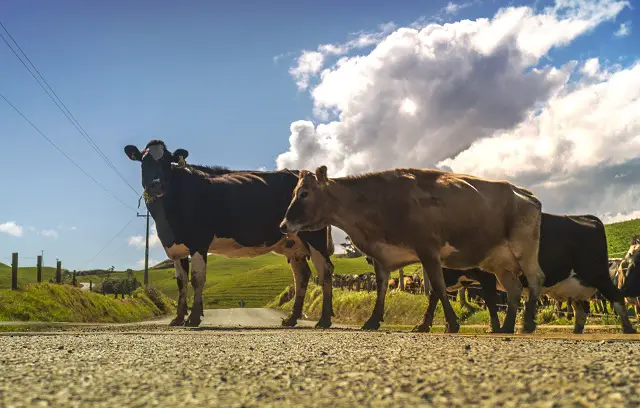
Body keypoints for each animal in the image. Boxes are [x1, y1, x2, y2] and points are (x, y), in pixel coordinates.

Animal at [124, 140, 336, 328]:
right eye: (144, 161)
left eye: (168, 162)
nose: (156, 185)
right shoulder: (176, 248)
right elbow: (181, 283)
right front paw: (177, 319)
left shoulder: (199, 241)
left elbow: (197, 278)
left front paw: (193, 317)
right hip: (293, 244)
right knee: (301, 275)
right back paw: (291, 319)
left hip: (314, 237)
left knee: (325, 270)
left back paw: (324, 320)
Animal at [280, 166, 546, 334]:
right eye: (293, 193)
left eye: (304, 193)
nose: (283, 225)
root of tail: (526, 194)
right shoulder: (382, 256)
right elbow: (382, 289)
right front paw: (373, 321)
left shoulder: (428, 250)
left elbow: (437, 288)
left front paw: (451, 324)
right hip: (499, 262)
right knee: (514, 289)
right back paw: (509, 326)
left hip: (525, 248)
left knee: (535, 280)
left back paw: (527, 324)